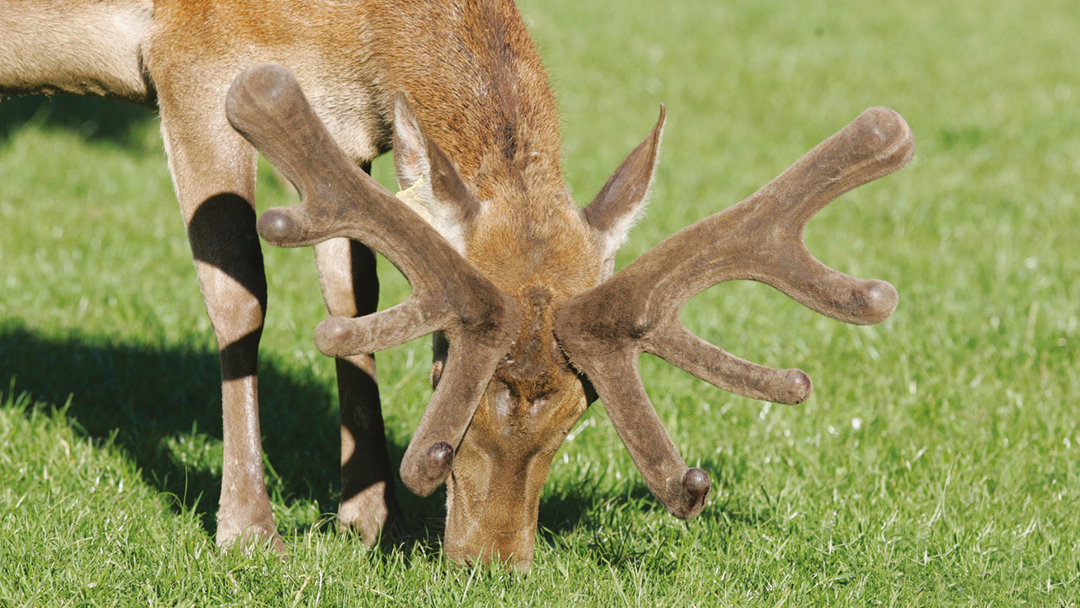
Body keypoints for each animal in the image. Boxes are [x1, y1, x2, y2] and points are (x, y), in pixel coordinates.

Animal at [1, 0, 913, 570]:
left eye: (583, 408)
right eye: (455, 377)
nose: (495, 563)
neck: (351, 34)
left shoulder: (342, 128)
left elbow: (355, 296)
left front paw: (371, 518)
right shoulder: (192, 62)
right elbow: (240, 299)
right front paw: (249, 532)